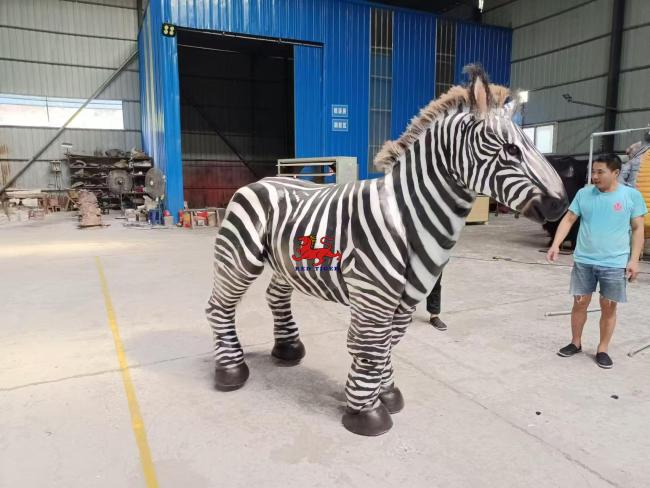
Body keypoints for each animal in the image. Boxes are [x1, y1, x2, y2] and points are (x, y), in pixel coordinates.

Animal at [206, 65, 568, 436]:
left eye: (529, 144)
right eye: (510, 149)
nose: (561, 205)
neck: (407, 215)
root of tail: (262, 180)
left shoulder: (406, 299)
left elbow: (390, 343)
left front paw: (386, 394)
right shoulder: (372, 296)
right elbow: (371, 347)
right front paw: (365, 412)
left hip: (285, 264)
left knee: (275, 298)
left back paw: (288, 350)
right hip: (239, 258)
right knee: (219, 307)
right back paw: (230, 371)